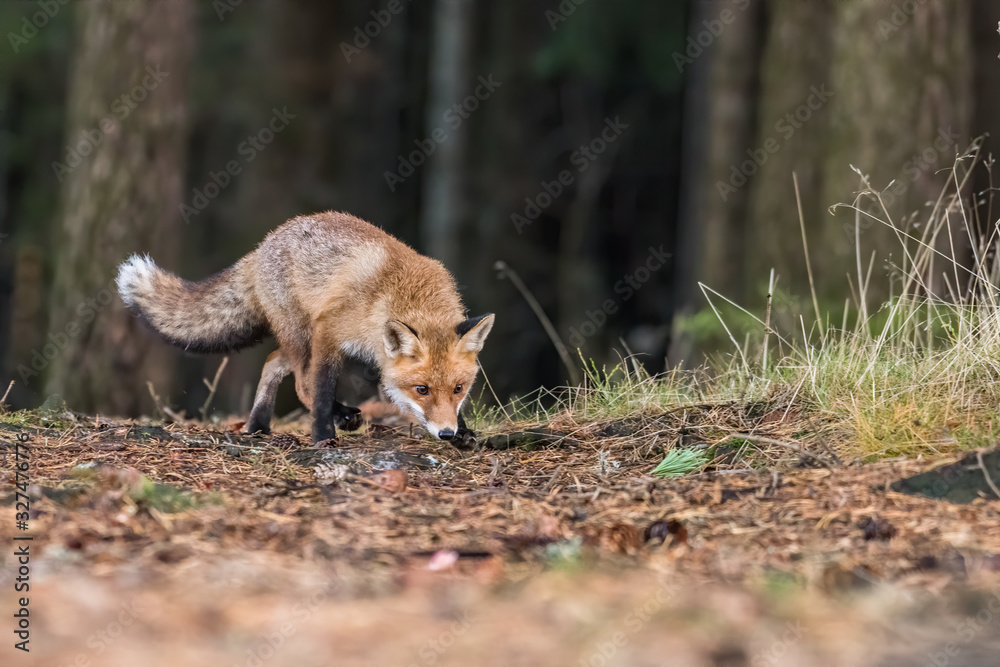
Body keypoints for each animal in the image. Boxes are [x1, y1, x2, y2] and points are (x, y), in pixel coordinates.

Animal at [115, 211, 494, 447]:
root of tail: (262, 246)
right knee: (301, 383)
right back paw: (334, 418)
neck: (403, 295)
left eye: (459, 389)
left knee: (272, 361)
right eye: (422, 390)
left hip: (296, 340)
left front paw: (464, 432)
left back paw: (258, 424)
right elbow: (320, 389)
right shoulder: (330, 330)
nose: (446, 434)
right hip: (304, 335)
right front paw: (323, 434)